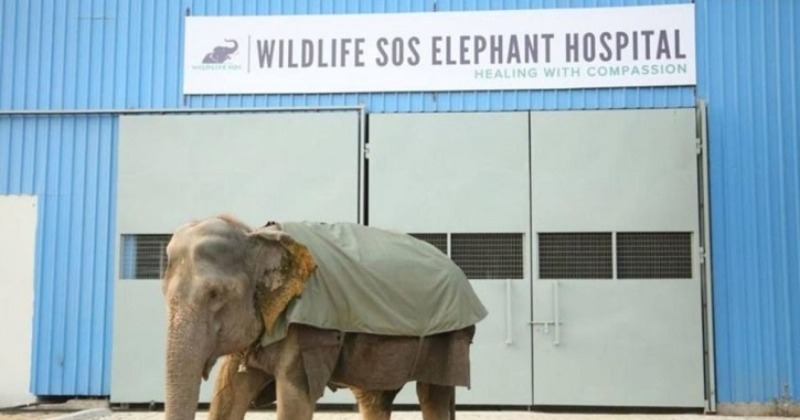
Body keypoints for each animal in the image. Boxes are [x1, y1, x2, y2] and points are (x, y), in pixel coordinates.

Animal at [161, 215, 487, 420]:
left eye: (215, 295)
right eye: (163, 293)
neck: (255, 234)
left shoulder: (306, 334)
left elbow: (294, 400)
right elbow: (228, 392)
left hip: (450, 338)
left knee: (432, 394)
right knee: (375, 397)